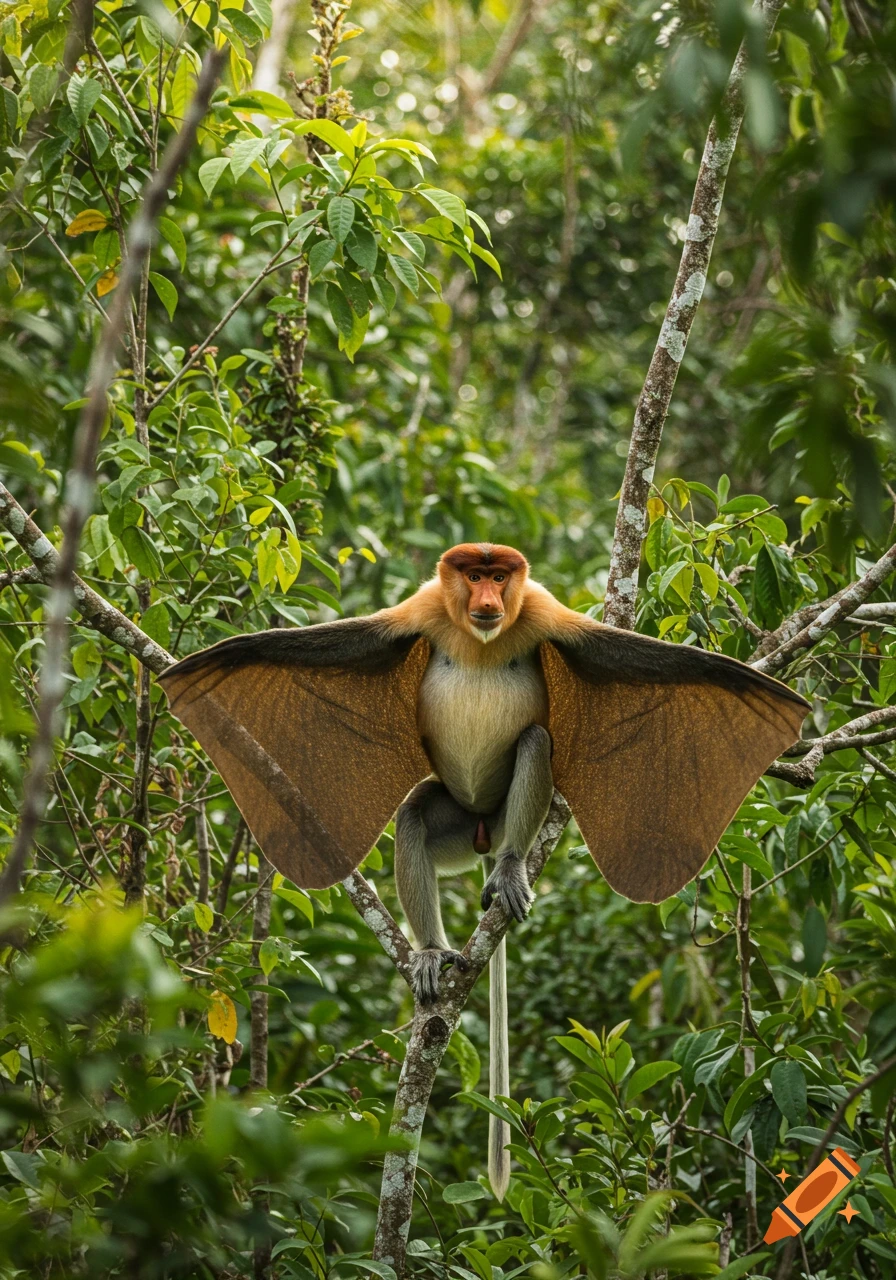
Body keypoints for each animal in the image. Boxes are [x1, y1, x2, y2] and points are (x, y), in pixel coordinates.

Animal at [159, 542, 809, 1200]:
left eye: (499, 576)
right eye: (473, 576)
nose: (490, 600)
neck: (478, 640)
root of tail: (483, 833)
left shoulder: (542, 612)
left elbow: (629, 658)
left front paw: (751, 688)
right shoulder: (425, 608)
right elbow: (345, 643)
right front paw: (220, 661)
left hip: (497, 815)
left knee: (536, 741)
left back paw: (510, 869)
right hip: (456, 815)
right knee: (415, 815)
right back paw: (430, 953)